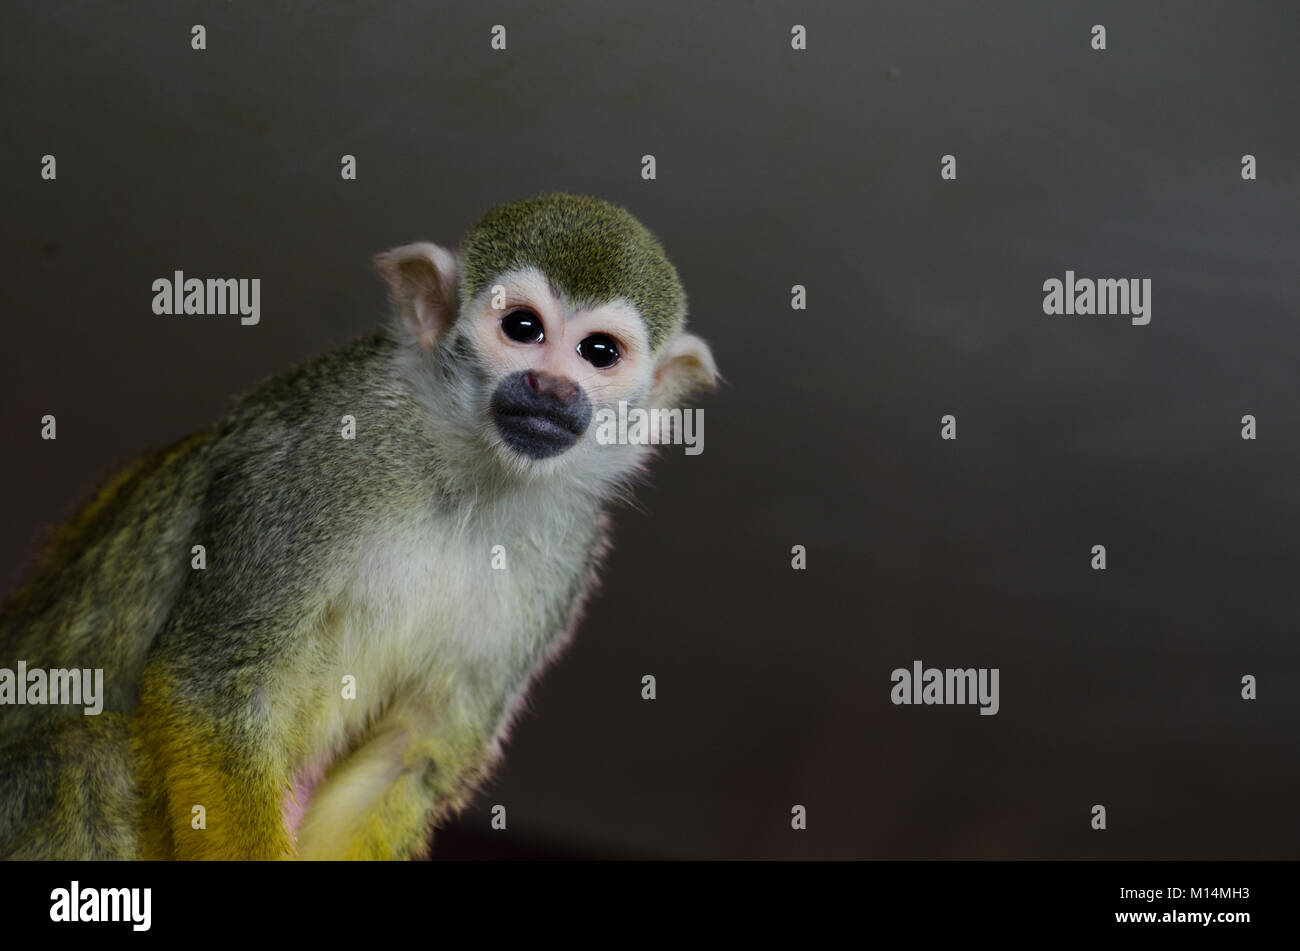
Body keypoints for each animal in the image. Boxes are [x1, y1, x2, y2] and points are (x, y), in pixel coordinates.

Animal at [0, 193, 717, 859]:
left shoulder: (568, 554)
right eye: (523, 327)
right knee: (85, 757)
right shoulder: (313, 457)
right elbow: (217, 688)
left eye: (599, 352)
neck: (465, 476)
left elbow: (411, 754)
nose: (551, 387)